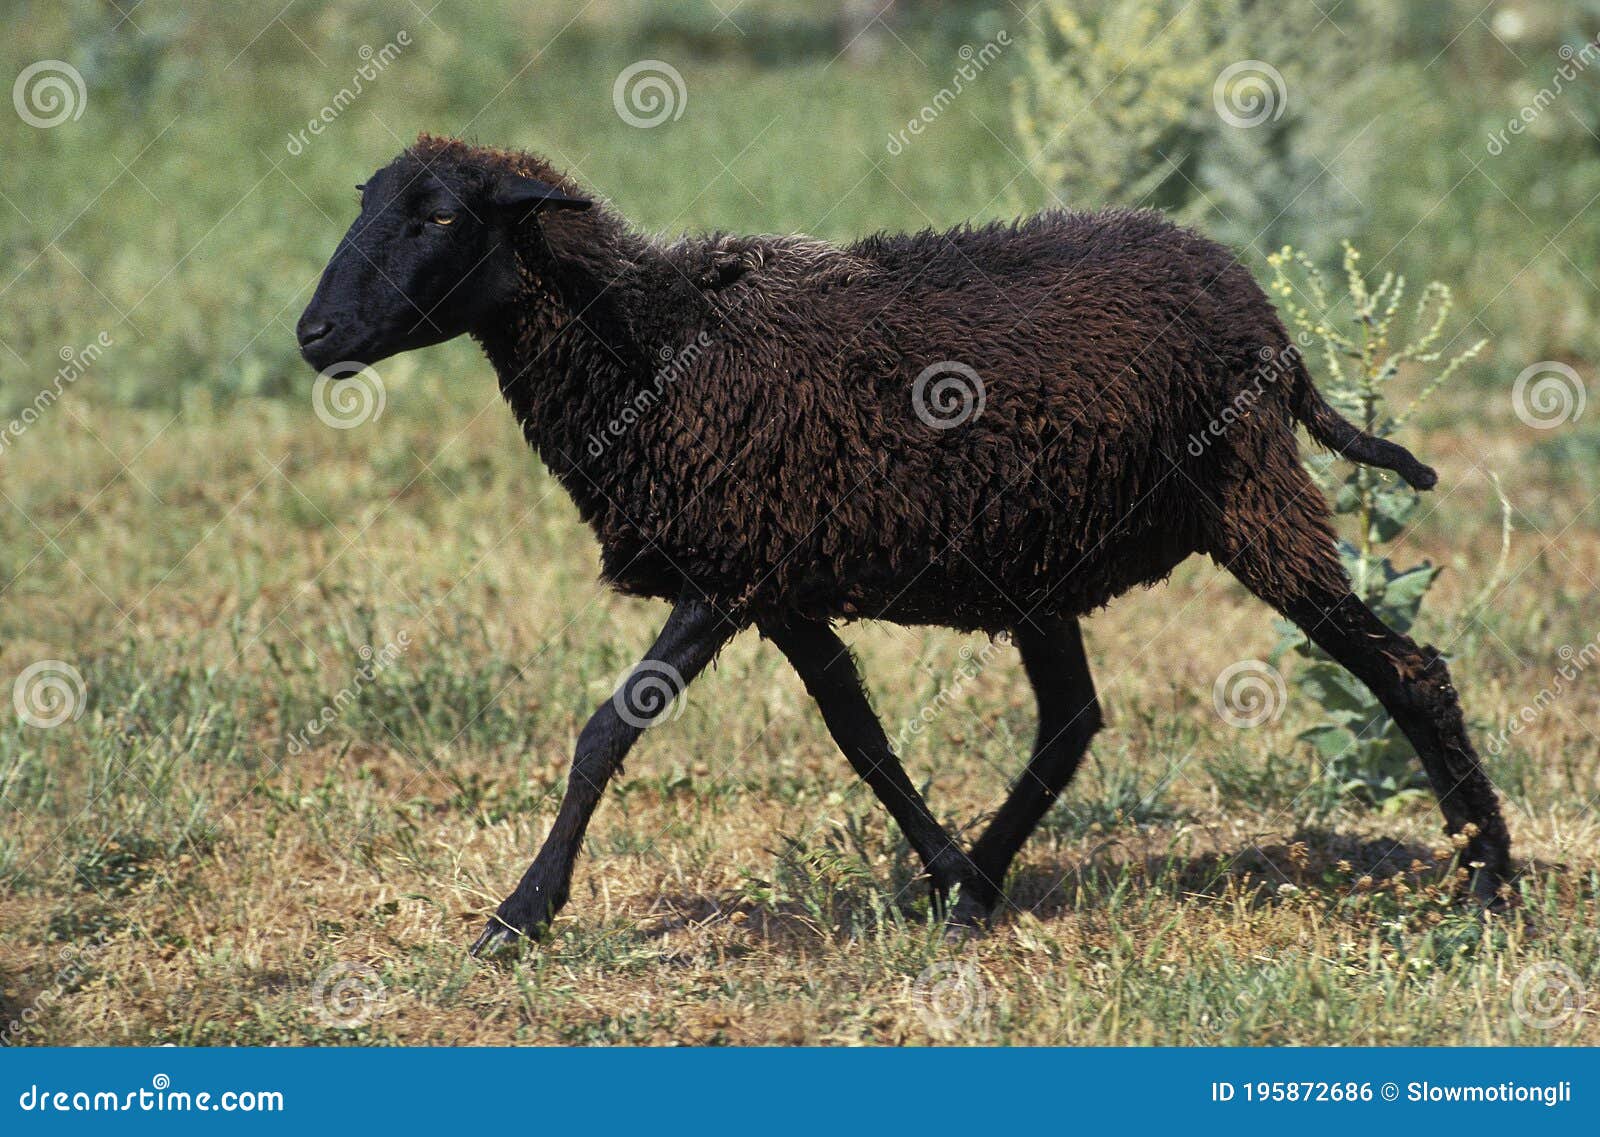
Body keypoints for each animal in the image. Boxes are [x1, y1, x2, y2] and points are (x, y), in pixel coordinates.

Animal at [296, 134, 1512, 954]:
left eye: (440, 217)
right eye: (369, 202)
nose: (313, 334)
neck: (647, 341)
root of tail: (1264, 316)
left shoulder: (724, 569)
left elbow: (606, 731)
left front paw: (519, 916)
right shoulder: (777, 583)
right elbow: (861, 735)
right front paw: (941, 874)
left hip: (1251, 500)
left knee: (1409, 670)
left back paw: (1490, 885)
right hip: (1045, 558)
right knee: (1072, 721)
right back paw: (982, 881)